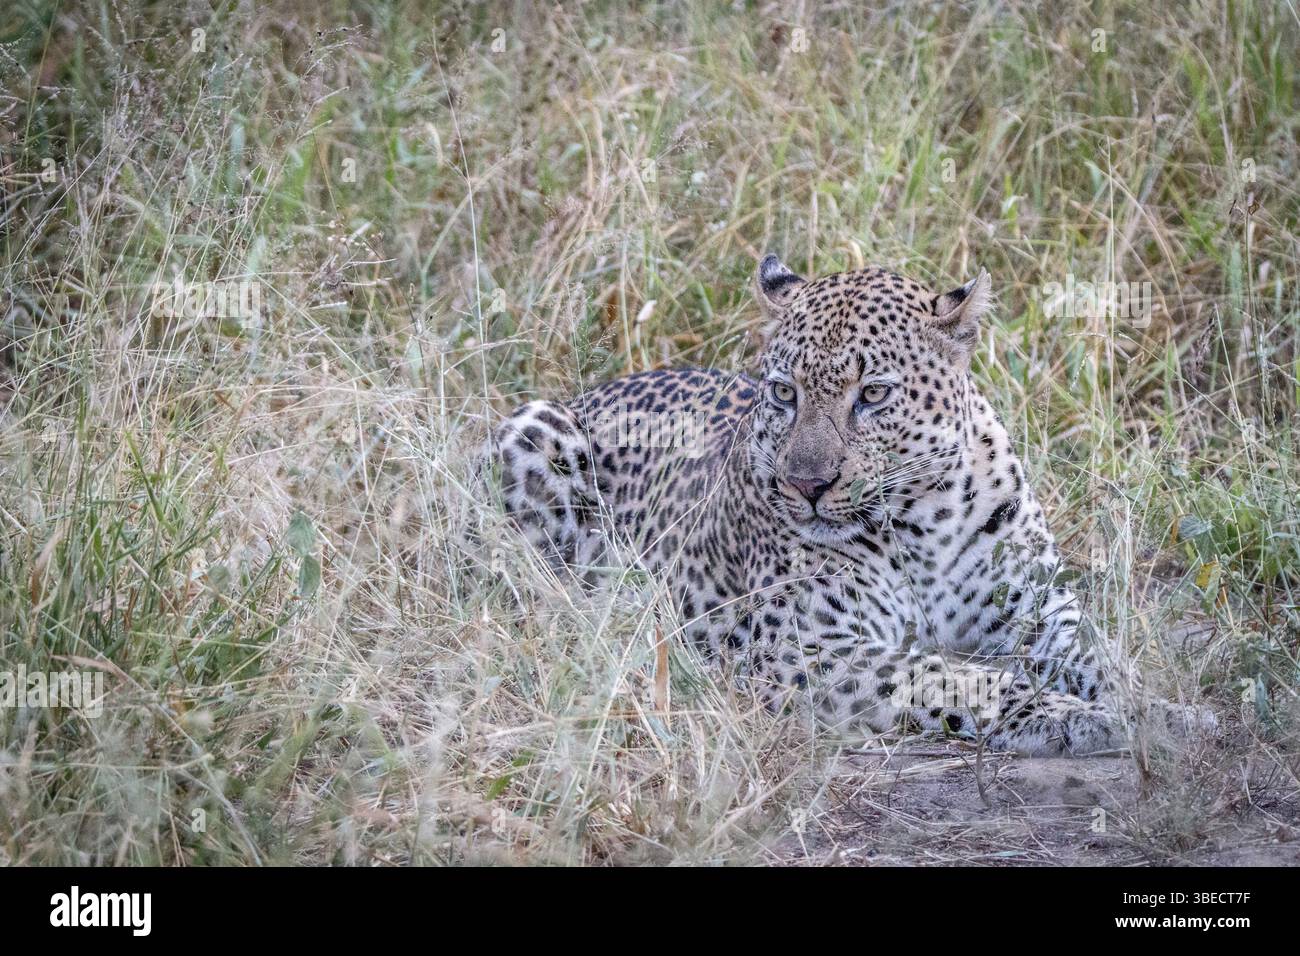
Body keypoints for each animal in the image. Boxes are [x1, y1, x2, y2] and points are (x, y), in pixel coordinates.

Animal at [485, 255, 1216, 756]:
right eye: (784, 393)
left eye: (873, 394)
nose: (806, 484)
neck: (927, 521)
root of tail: (597, 389)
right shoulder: (805, 647)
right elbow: (951, 675)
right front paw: (1070, 718)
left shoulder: (1040, 617)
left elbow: (1106, 661)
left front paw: (1162, 712)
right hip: (535, 429)